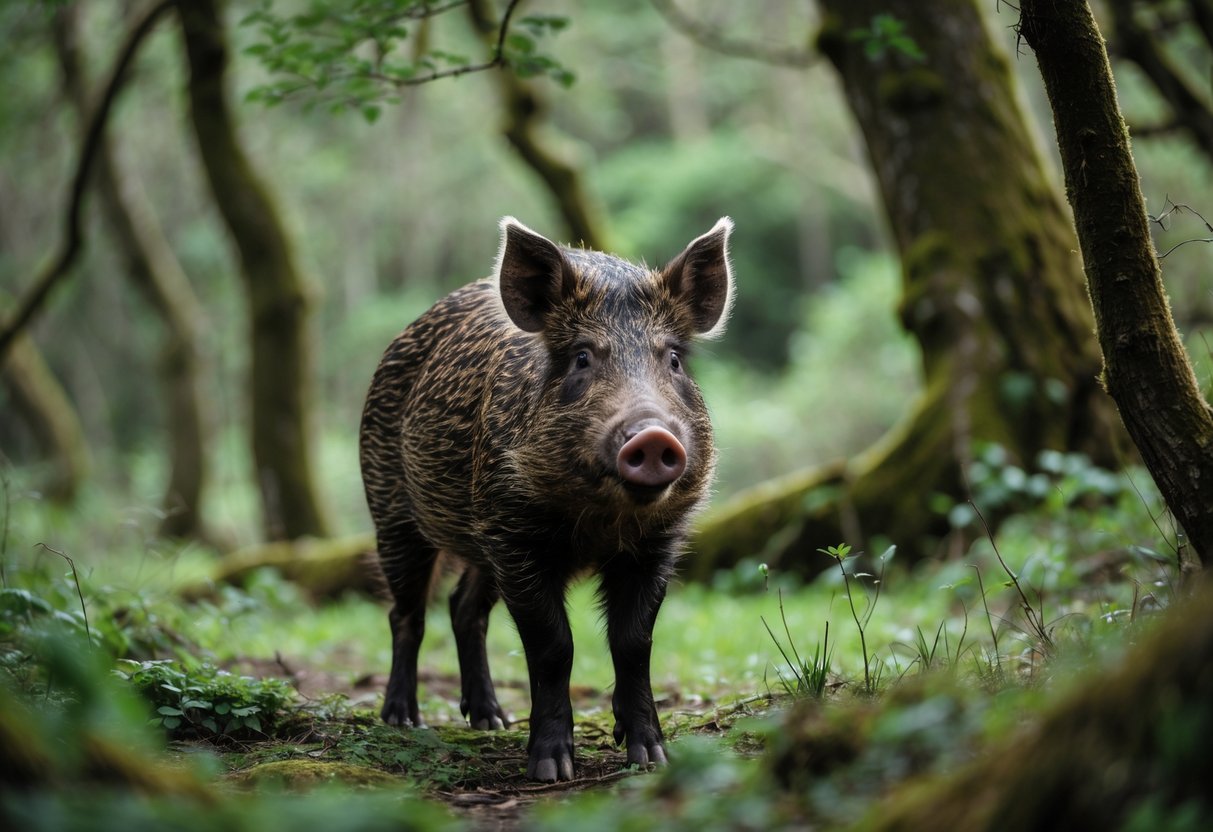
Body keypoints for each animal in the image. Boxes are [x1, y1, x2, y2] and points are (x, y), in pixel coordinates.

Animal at [359, 216, 734, 782]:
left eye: (672, 358)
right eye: (581, 356)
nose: (651, 436)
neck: (599, 521)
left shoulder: (658, 543)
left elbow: (633, 643)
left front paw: (651, 758)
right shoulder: (514, 534)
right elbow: (553, 646)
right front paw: (552, 770)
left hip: (478, 545)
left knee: (463, 607)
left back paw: (490, 720)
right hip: (391, 513)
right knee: (407, 613)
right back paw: (404, 720)